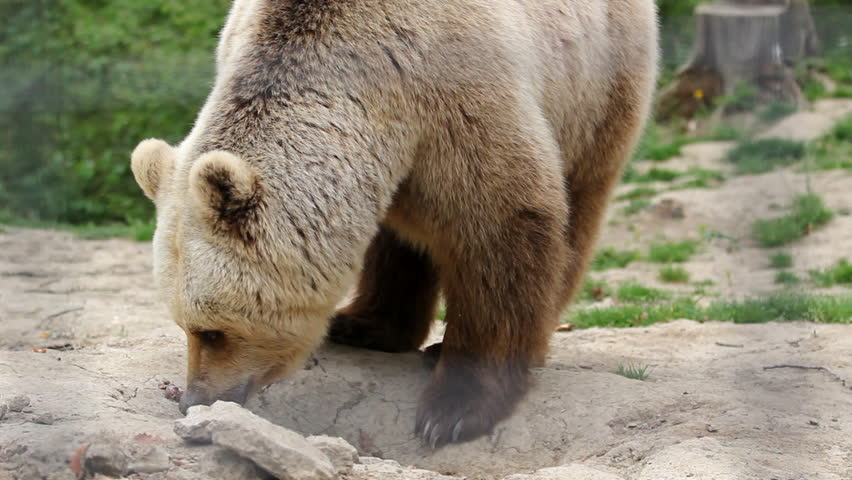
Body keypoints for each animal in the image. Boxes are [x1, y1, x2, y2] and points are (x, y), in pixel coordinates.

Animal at [130, 0, 658, 447]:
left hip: (597, 85)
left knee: (581, 200)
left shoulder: (461, 97)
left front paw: (453, 411)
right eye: (183, 326)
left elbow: (500, 229)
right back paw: (366, 324)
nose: (195, 399)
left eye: (213, 331)